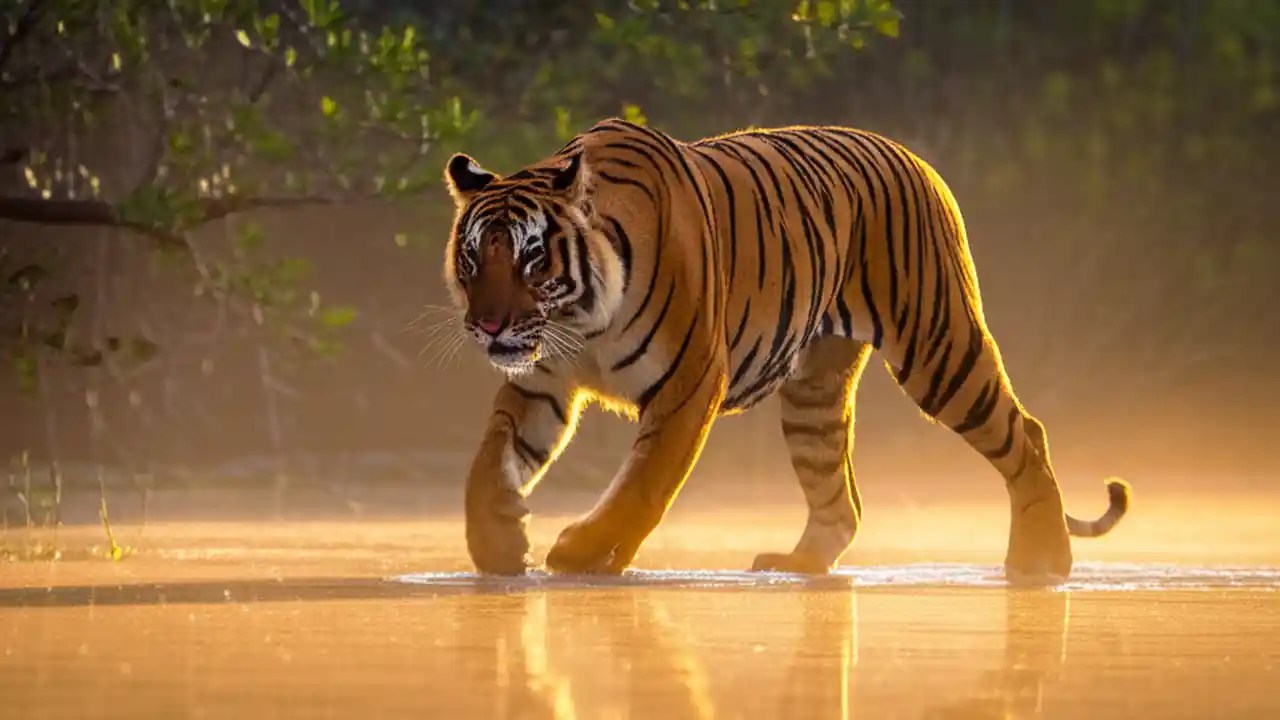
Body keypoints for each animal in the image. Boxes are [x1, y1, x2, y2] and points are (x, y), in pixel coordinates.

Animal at [441, 117, 1129, 578]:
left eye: (531, 259)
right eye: (473, 257)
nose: (488, 326)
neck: (581, 319)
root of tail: (916, 158)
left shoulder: (689, 385)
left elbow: (642, 486)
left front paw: (582, 552)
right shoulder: (542, 381)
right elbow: (488, 462)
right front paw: (500, 542)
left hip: (939, 349)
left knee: (1025, 433)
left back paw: (1043, 560)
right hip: (813, 394)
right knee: (841, 494)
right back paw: (799, 563)